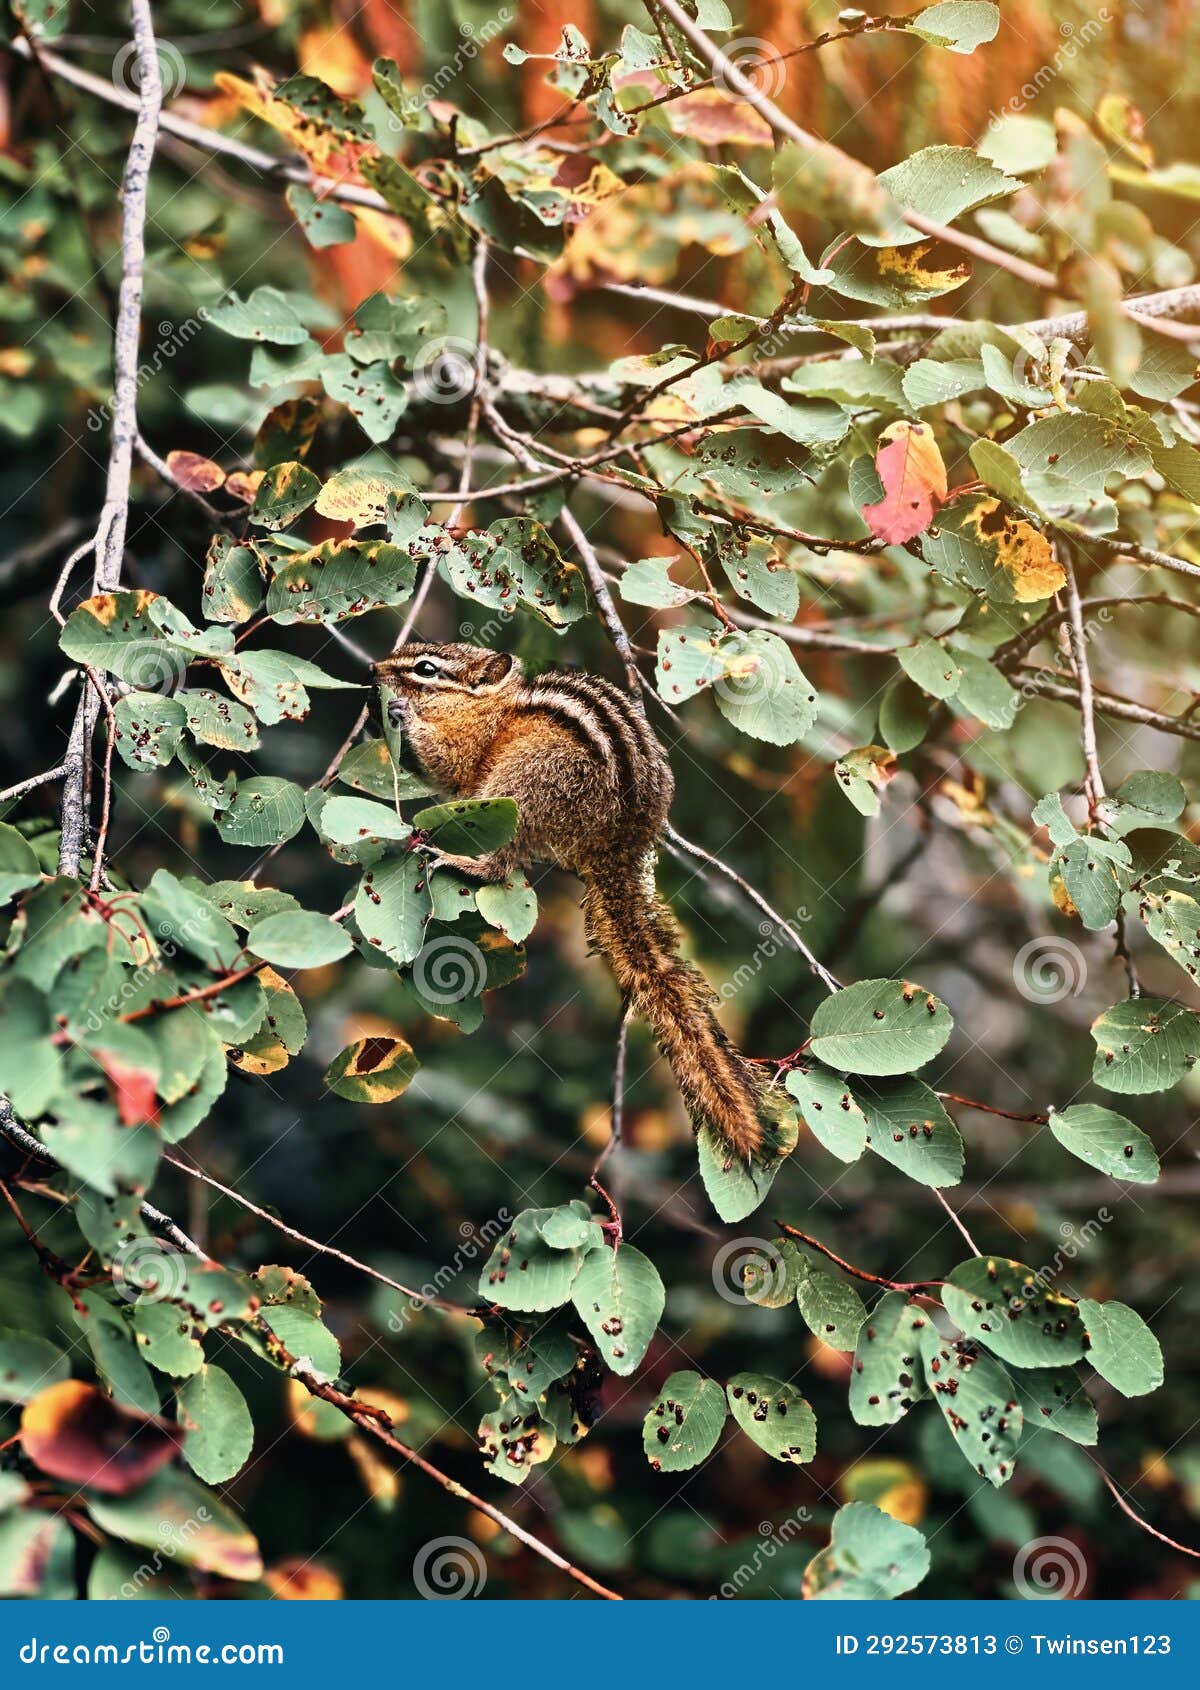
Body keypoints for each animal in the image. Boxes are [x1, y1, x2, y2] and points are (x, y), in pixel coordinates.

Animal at [374, 642, 772, 1159]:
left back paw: (463, 861)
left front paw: (402, 713)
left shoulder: (470, 746)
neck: (490, 705)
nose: (374, 669)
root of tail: (621, 841)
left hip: (523, 784)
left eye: (426, 669)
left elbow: (449, 764)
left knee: (503, 862)